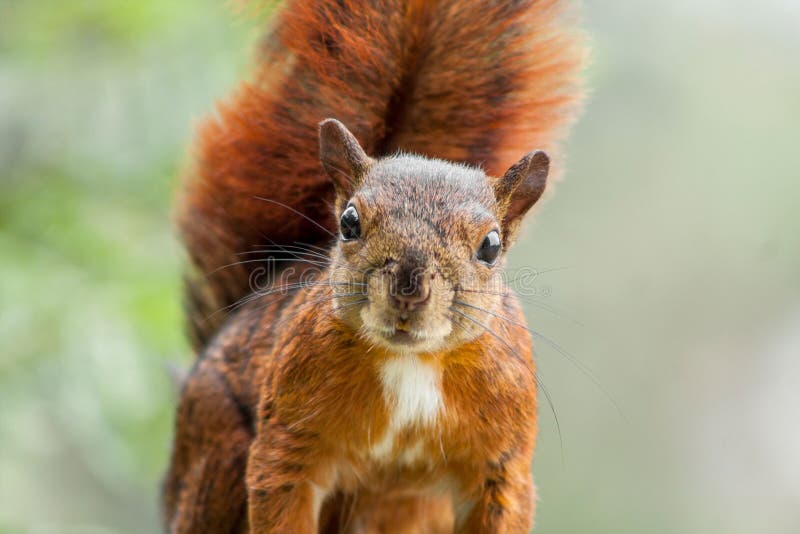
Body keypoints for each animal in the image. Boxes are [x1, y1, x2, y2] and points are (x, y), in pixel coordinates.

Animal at [163, 0, 584, 532]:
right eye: (348, 223)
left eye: (490, 246)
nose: (408, 288)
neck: (412, 363)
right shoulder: (287, 443)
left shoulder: (501, 466)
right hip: (217, 451)